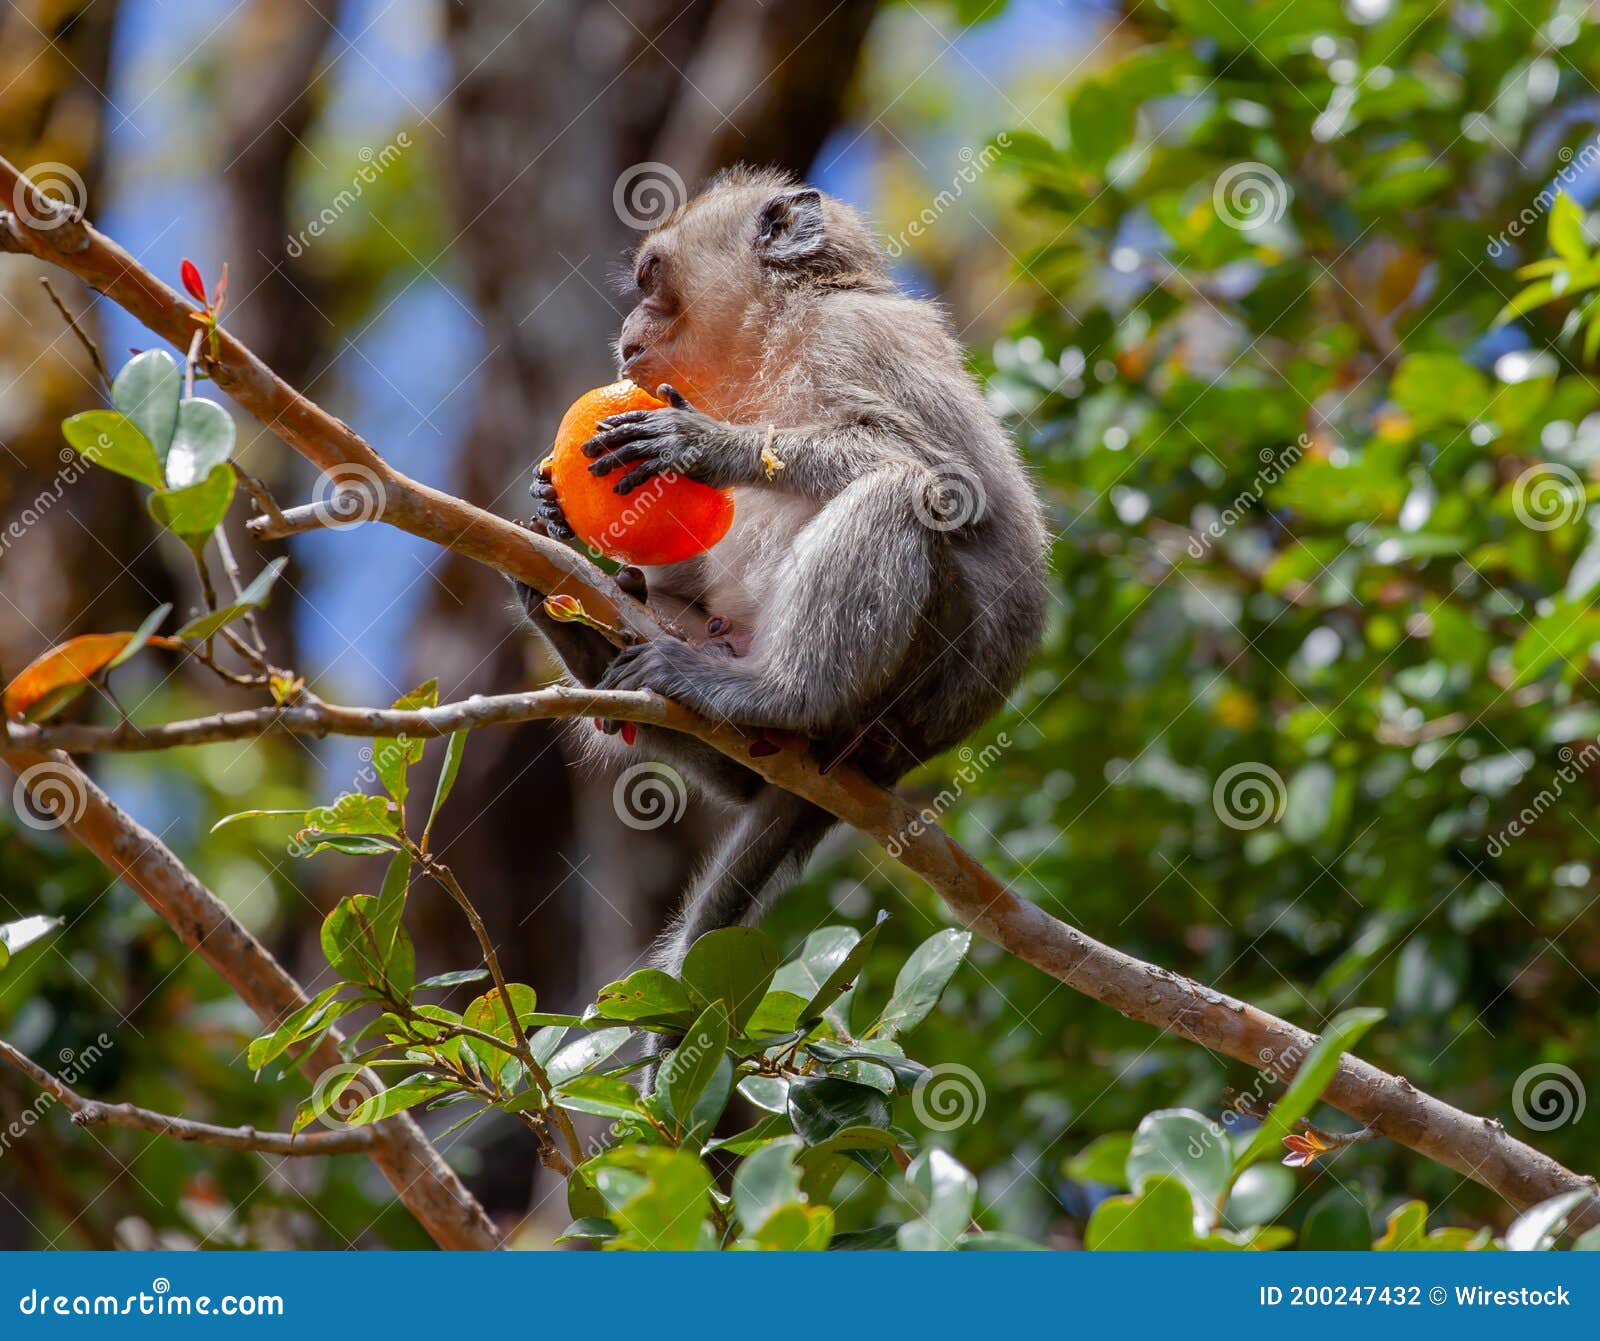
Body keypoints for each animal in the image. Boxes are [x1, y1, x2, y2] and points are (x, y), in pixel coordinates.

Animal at [516, 166, 1047, 976]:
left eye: (651, 278)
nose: (627, 335)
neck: (783, 327)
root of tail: (902, 761)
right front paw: (555, 510)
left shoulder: (854, 341)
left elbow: (944, 484)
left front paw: (706, 443)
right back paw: (588, 642)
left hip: (918, 685)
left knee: (898, 497)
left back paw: (780, 693)